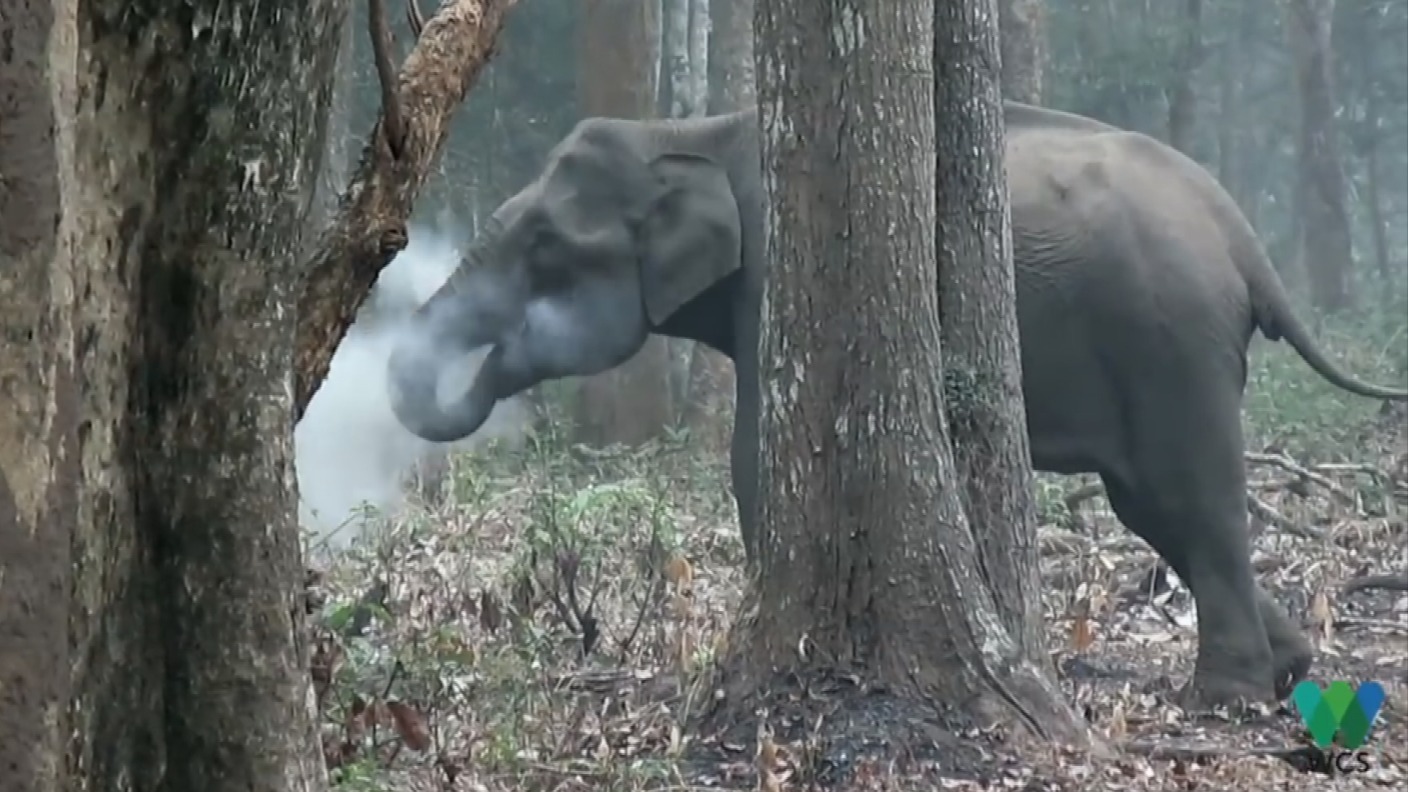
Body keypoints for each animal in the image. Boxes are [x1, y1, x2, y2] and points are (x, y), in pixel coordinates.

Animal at [385, 102, 1408, 708]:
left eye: (545, 250)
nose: (498, 356)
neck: (692, 129)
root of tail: (1241, 234)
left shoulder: (781, 273)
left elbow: (755, 456)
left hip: (1170, 339)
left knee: (1188, 497)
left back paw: (1224, 698)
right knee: (1153, 506)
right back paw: (1290, 667)